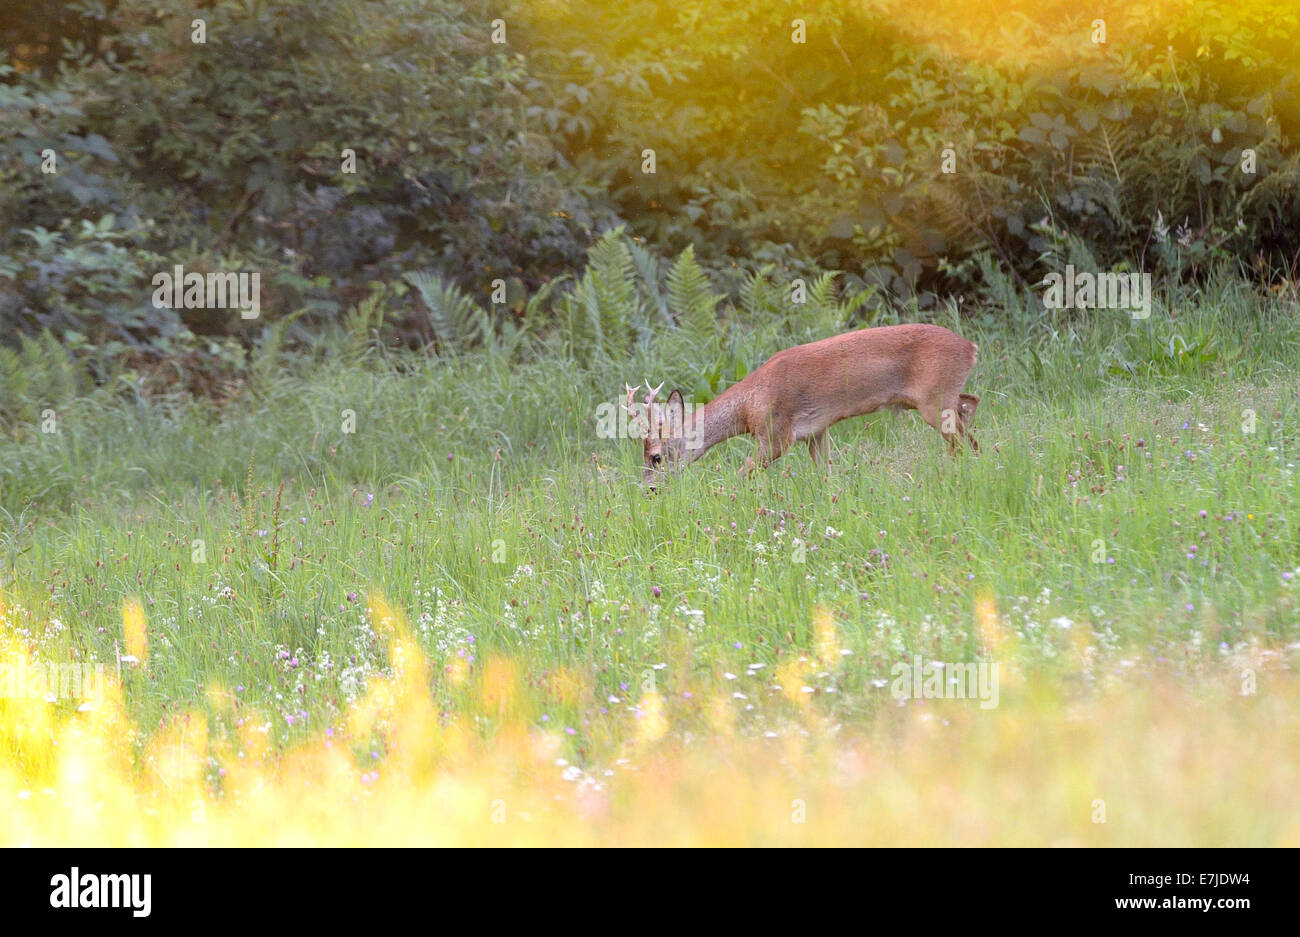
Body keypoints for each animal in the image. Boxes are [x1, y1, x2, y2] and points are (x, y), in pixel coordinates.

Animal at [625, 323, 979, 488]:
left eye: (656, 456)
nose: (648, 489)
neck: (747, 407)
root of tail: (971, 346)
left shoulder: (776, 435)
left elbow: (742, 473)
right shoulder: (817, 431)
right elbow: (826, 474)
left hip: (935, 400)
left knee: (965, 440)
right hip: (942, 399)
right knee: (971, 406)